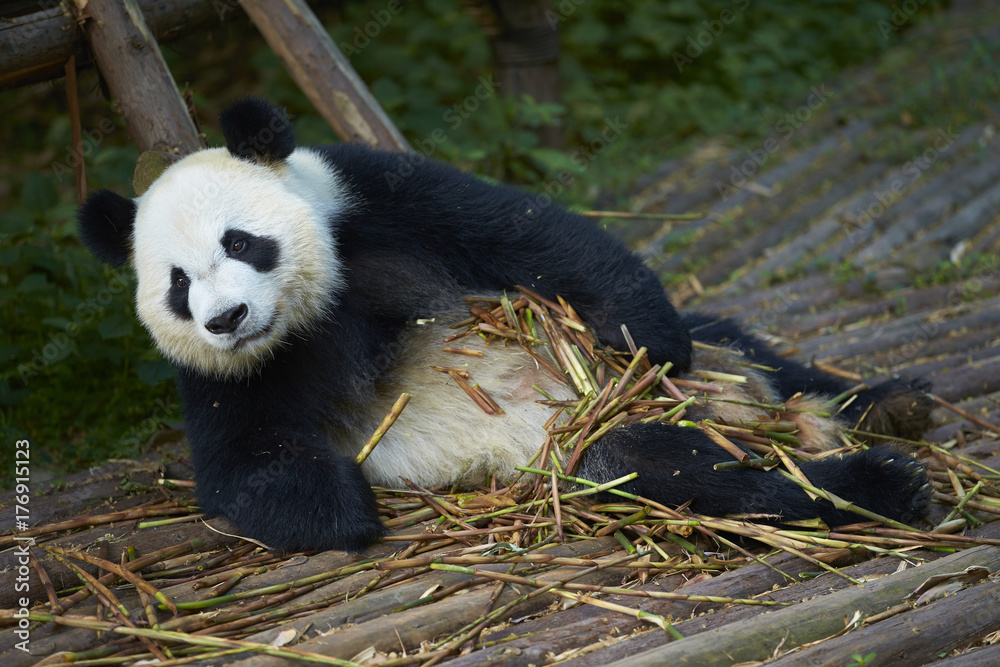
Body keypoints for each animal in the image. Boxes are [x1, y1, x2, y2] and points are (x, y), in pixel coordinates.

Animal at [77, 98, 932, 552]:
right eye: (178, 285)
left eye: (241, 241)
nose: (227, 317)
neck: (312, 311)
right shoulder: (226, 375)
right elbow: (241, 464)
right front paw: (350, 504)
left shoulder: (369, 195)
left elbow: (535, 233)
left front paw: (641, 334)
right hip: (577, 445)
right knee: (683, 470)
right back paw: (872, 475)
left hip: (703, 373)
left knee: (741, 348)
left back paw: (886, 409)